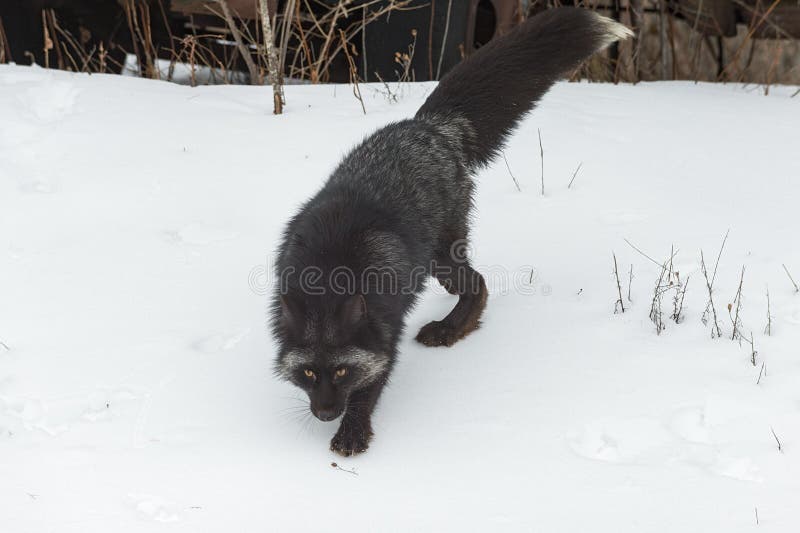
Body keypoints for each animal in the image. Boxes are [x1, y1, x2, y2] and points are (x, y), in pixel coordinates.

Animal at [271, 7, 632, 456]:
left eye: (341, 373)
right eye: (308, 374)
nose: (324, 415)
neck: (329, 269)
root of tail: (432, 126)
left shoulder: (384, 336)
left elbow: (371, 386)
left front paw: (353, 432)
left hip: (440, 259)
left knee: (478, 284)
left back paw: (453, 329)